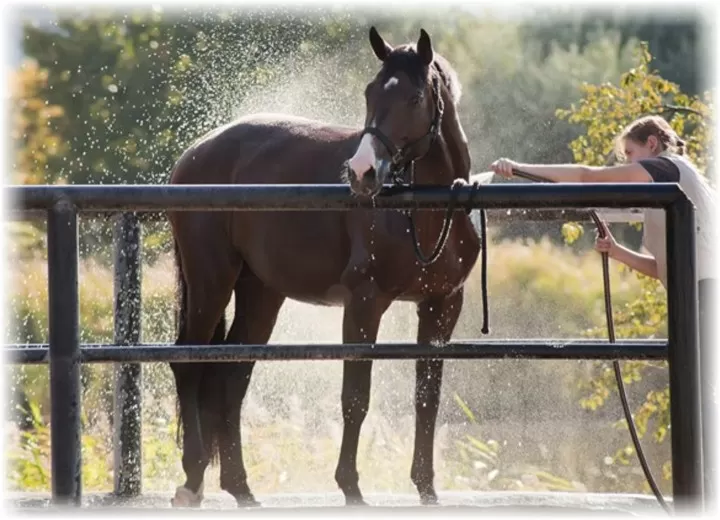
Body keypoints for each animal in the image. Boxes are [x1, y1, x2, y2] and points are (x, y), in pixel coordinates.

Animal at [165, 27, 484, 508]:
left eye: (414, 98)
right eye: (370, 91)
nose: (362, 172)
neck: (422, 211)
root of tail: (196, 153)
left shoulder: (442, 305)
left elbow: (426, 397)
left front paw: (426, 488)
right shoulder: (364, 303)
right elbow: (355, 398)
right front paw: (351, 486)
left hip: (260, 293)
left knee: (231, 376)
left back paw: (240, 487)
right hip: (210, 283)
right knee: (188, 363)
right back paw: (192, 478)